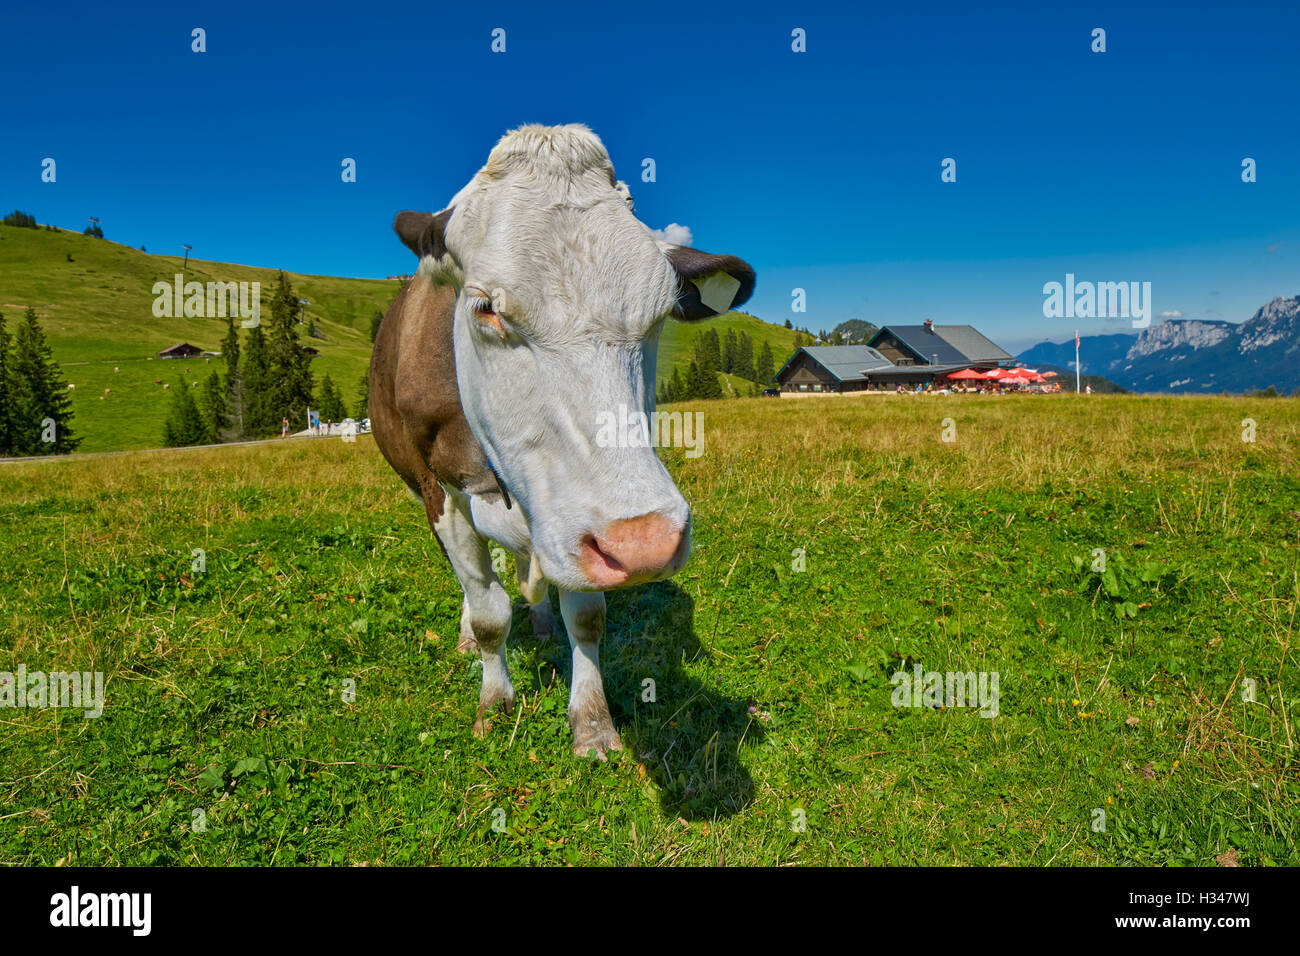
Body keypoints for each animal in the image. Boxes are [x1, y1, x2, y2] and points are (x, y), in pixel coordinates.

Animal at [370, 124, 755, 758]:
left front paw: (593, 723)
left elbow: (587, 615)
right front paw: (494, 700)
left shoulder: (571, 522)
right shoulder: (439, 489)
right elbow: (488, 611)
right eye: (485, 309)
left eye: (660, 314)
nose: (646, 543)